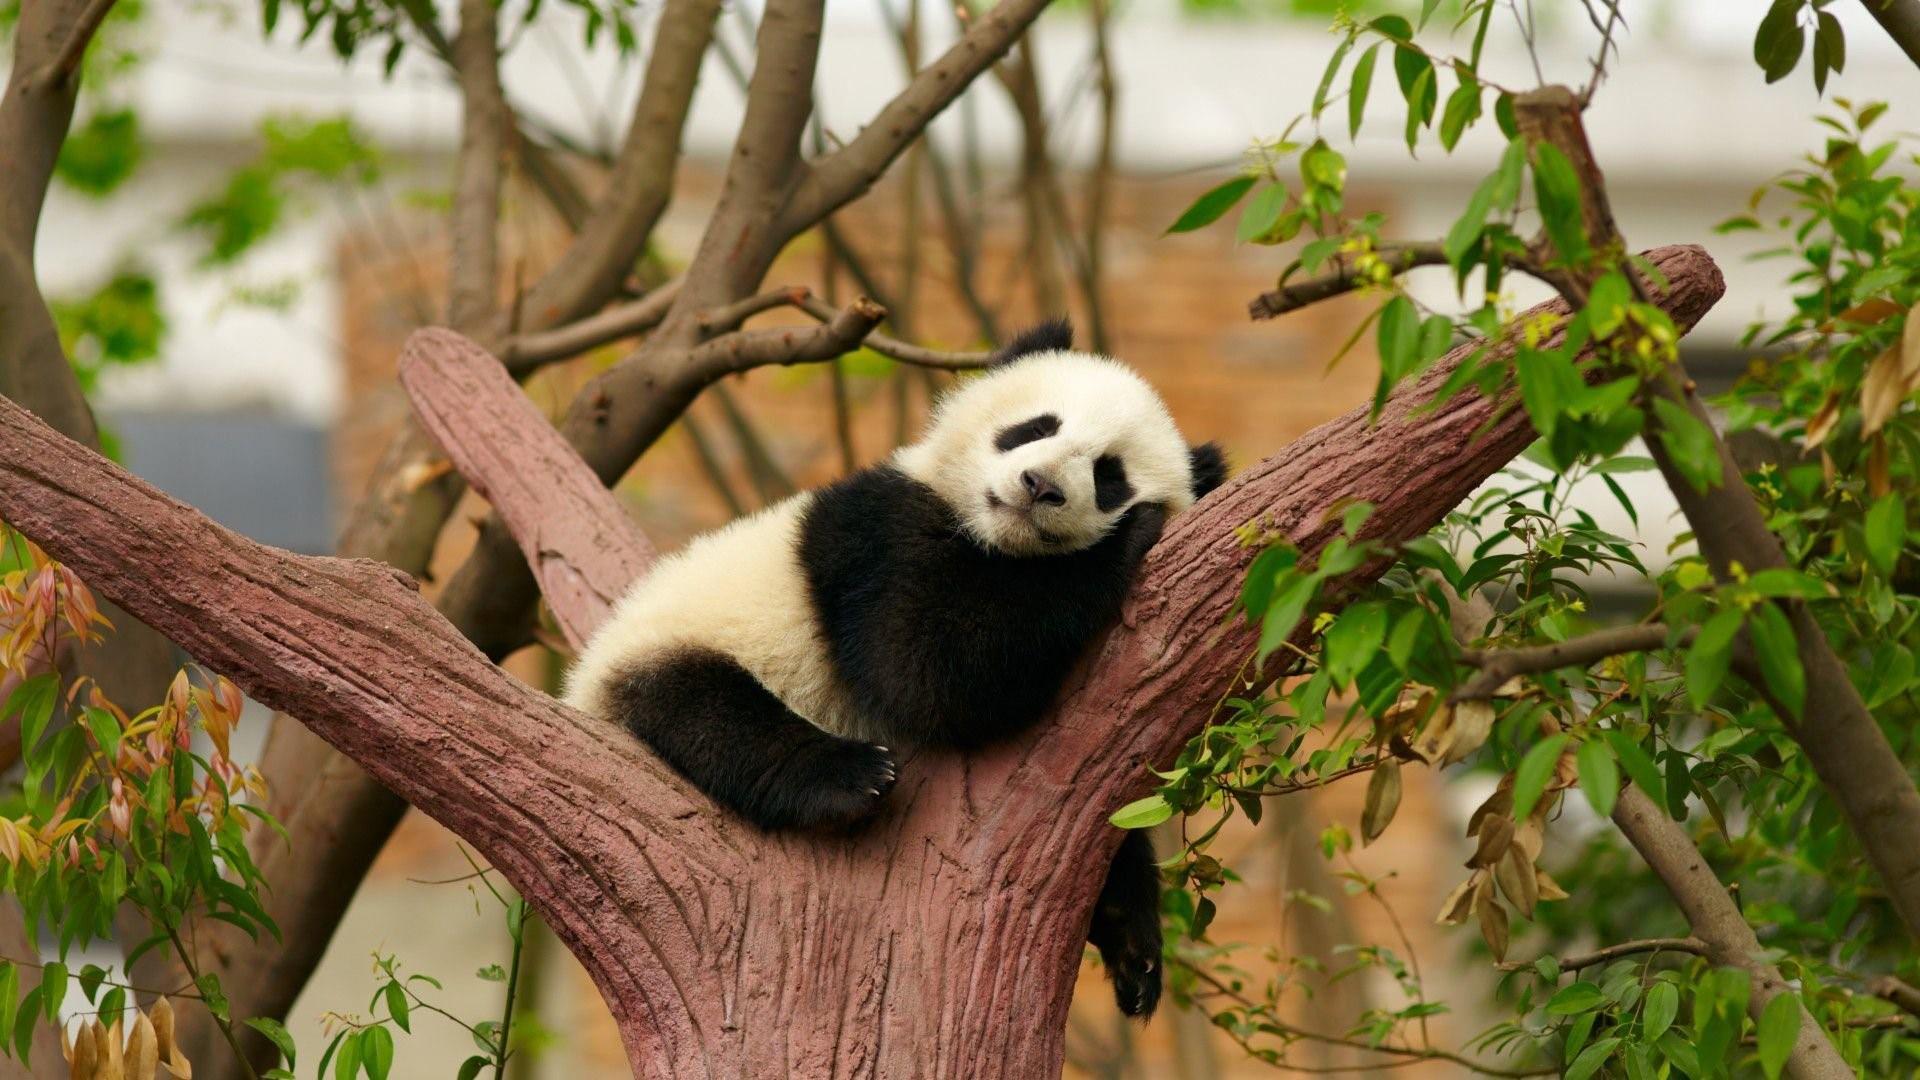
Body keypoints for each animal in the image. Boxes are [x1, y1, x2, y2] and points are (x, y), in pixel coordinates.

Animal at [564, 320, 1226, 1017]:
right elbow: (924, 669)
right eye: (1035, 427)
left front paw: (1133, 939)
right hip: (672, 643)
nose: (1040, 485)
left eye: (1109, 476)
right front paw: (1125, 541)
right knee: (707, 711)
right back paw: (847, 777)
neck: (996, 540)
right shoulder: (877, 533)